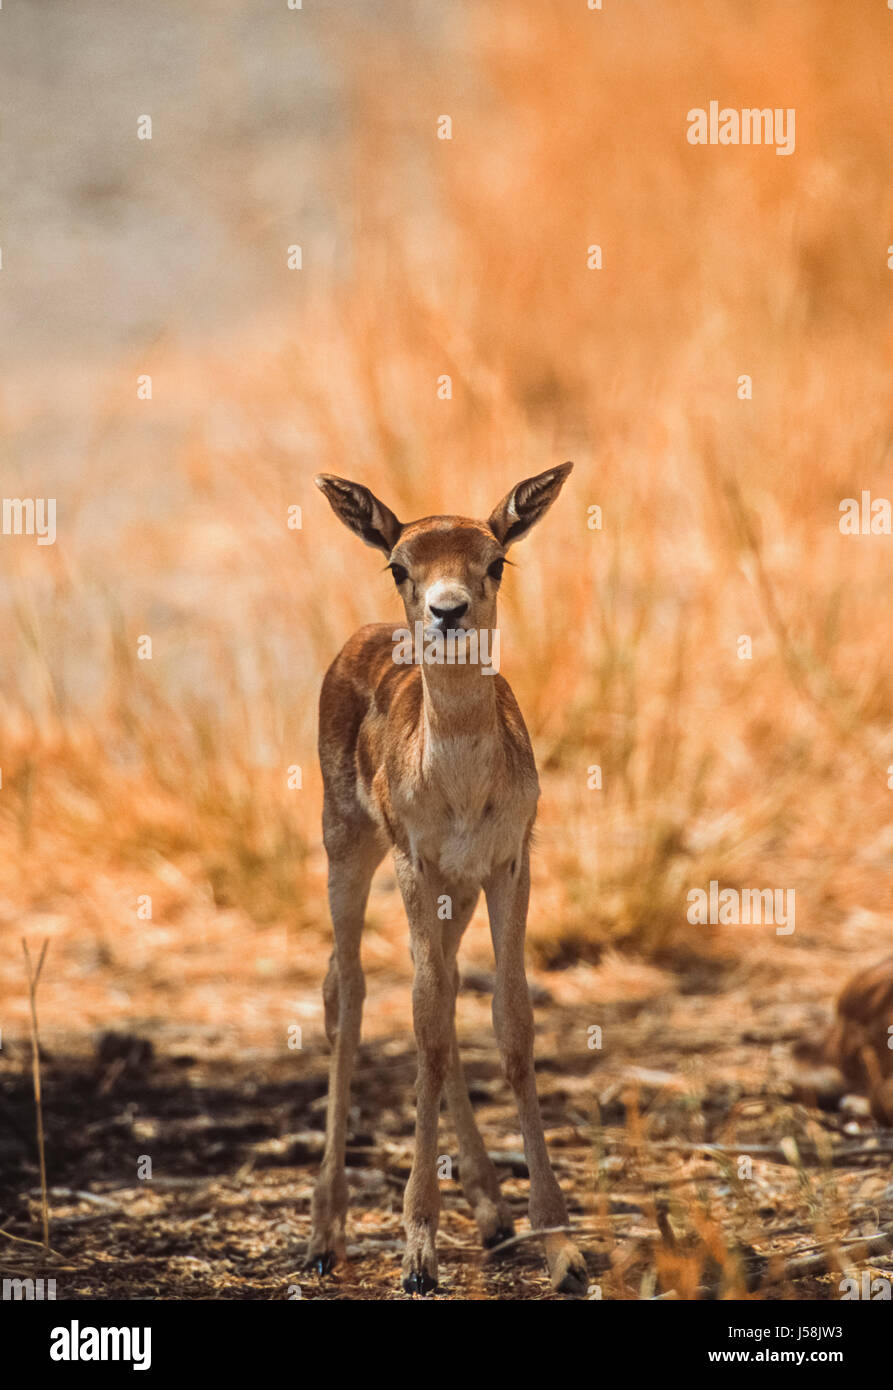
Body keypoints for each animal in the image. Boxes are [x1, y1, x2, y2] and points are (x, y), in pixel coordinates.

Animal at [307, 463, 588, 1297]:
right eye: (400, 563)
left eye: (494, 559)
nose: (447, 610)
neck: (462, 784)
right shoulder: (413, 859)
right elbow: (424, 1024)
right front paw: (418, 1250)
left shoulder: (507, 864)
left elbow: (510, 1024)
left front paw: (560, 1245)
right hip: (347, 846)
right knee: (348, 988)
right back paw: (325, 1233)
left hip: (453, 894)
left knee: (439, 987)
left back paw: (492, 1211)